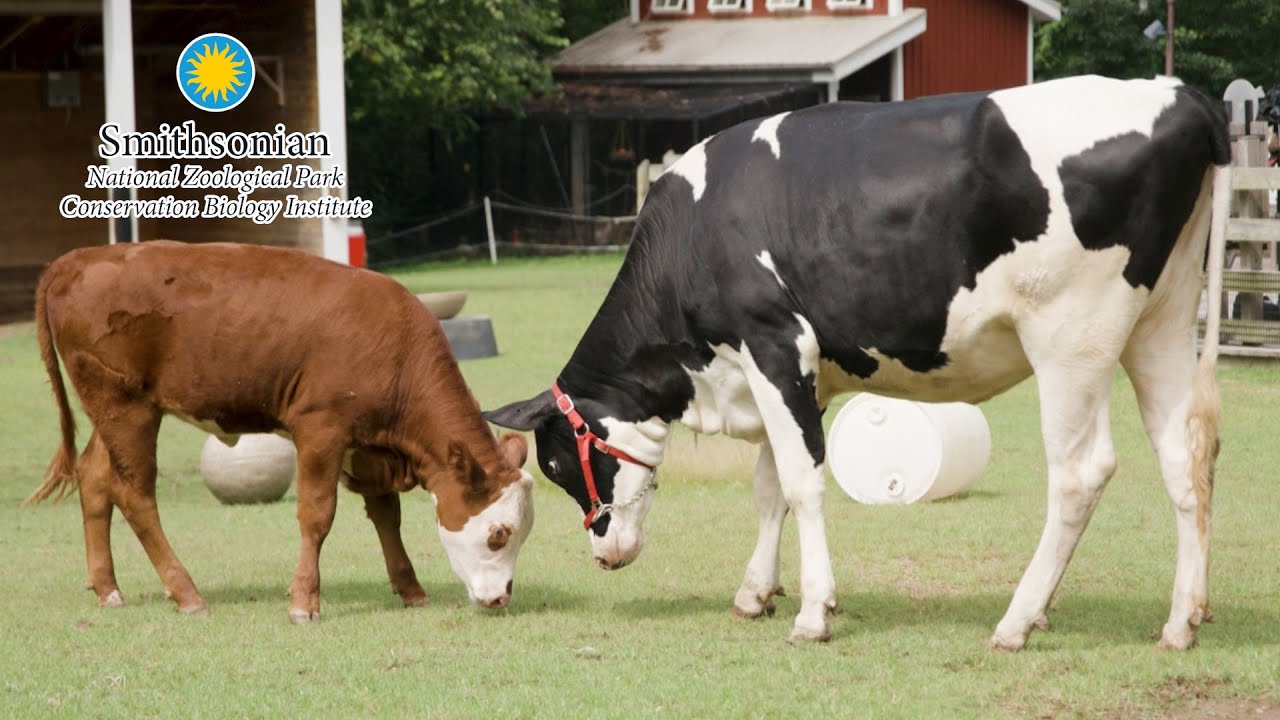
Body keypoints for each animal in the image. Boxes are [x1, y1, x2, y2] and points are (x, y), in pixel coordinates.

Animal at [26, 240, 535, 623]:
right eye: (499, 534)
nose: (499, 598)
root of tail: (80, 258)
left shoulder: (366, 445)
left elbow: (386, 515)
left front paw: (410, 588)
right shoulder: (320, 429)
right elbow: (317, 515)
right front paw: (303, 602)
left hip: (113, 411)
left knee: (94, 476)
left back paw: (108, 588)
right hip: (126, 408)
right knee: (135, 494)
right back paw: (187, 592)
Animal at [485, 75, 1230, 649]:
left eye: (556, 465)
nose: (603, 554)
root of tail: (1178, 93)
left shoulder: (774, 344)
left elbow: (802, 484)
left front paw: (814, 613)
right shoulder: (792, 376)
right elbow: (768, 486)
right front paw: (757, 593)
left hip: (1071, 338)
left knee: (1080, 474)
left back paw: (1018, 621)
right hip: (1162, 322)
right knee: (1184, 455)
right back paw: (1181, 622)